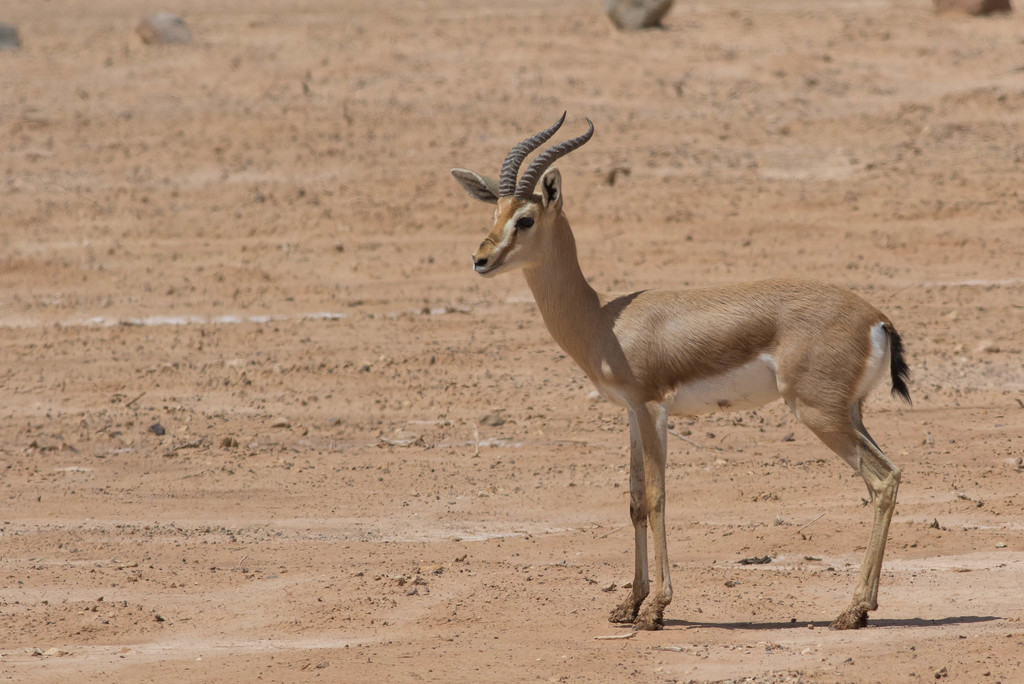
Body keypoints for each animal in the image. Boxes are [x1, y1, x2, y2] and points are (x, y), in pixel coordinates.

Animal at [451, 113, 911, 631]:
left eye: (525, 219)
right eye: (493, 214)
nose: (480, 260)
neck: (603, 321)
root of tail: (877, 318)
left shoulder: (653, 408)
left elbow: (656, 498)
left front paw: (656, 608)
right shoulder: (631, 412)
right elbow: (634, 500)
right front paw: (629, 603)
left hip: (817, 413)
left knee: (882, 478)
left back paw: (851, 610)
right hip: (849, 412)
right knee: (884, 479)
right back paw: (862, 607)